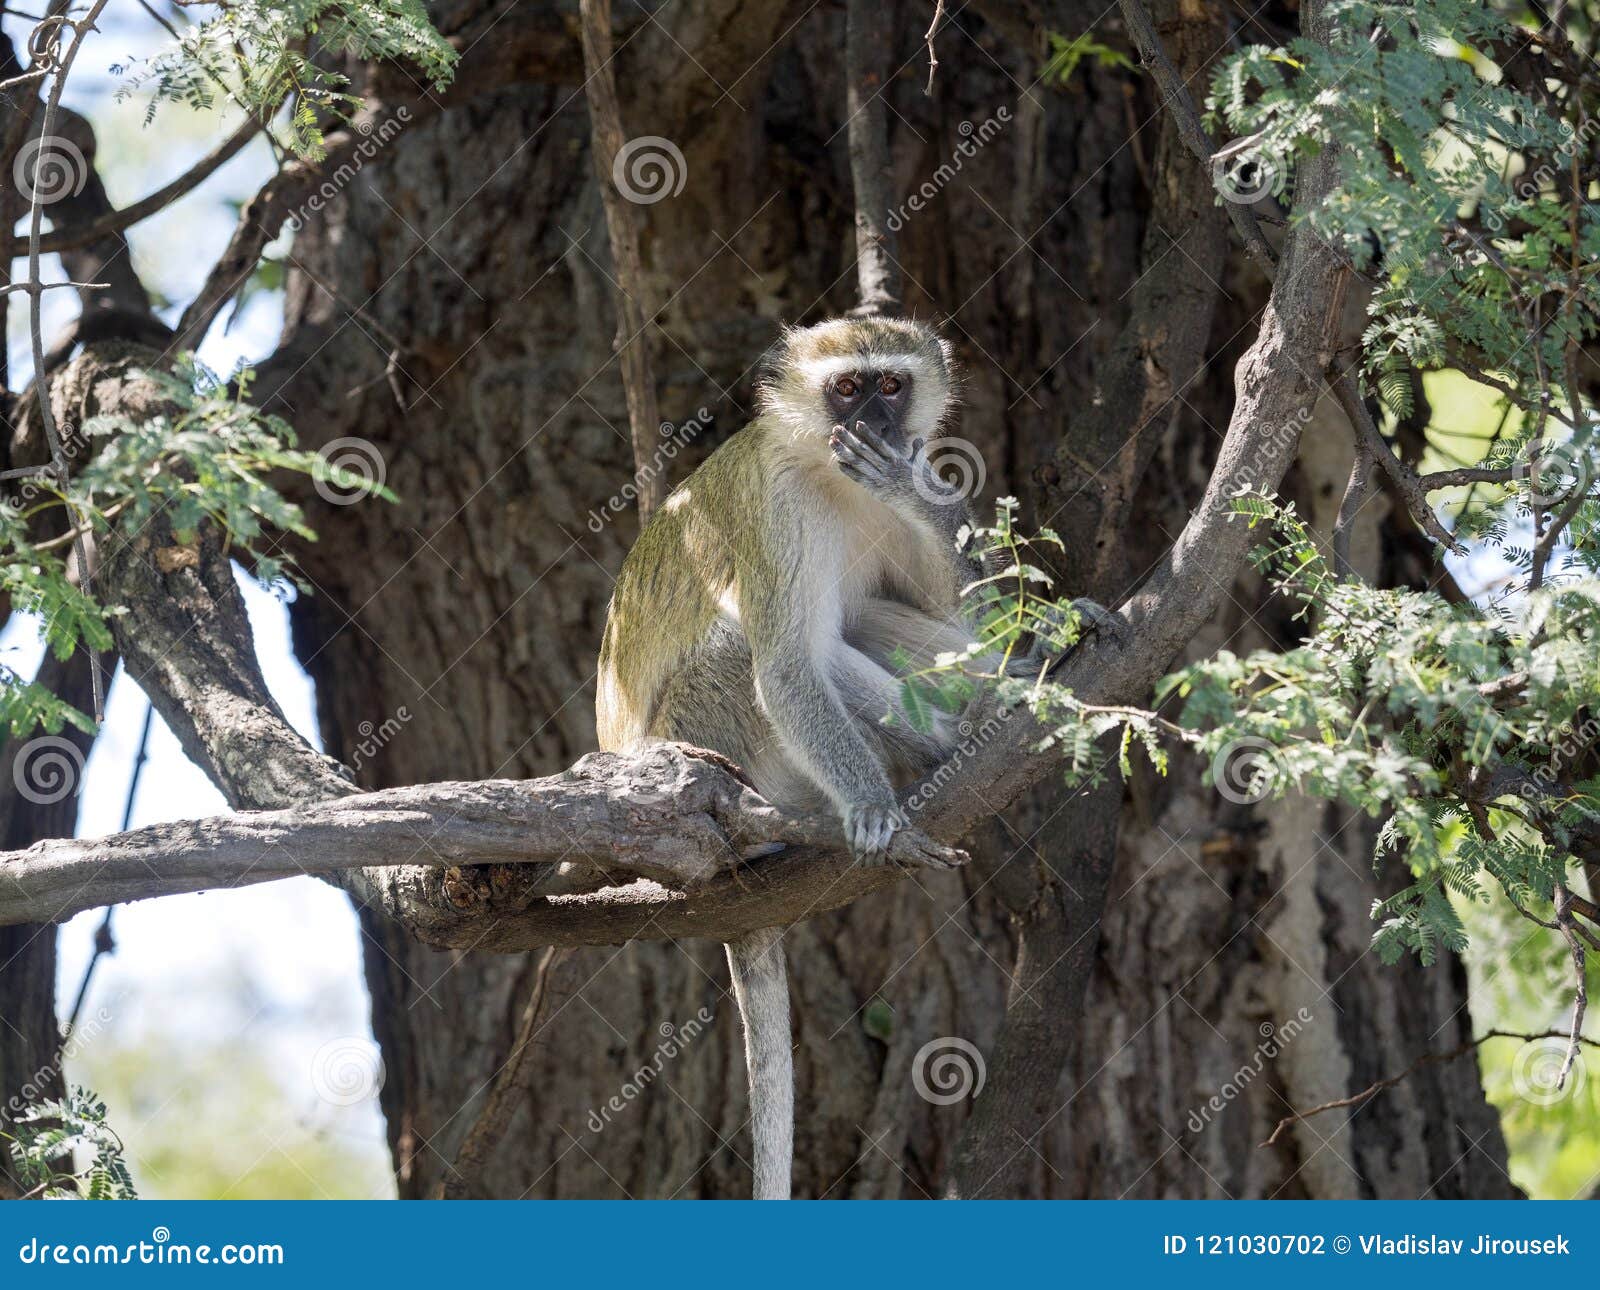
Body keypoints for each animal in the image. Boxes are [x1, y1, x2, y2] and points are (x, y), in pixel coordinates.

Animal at [596, 316, 1062, 1198]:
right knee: (751, 646)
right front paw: (879, 812)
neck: (825, 470)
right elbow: (784, 668)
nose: (875, 423)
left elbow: (951, 611)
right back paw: (955, 740)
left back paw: (1014, 688)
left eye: (891, 386)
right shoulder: (773, 510)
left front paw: (918, 490)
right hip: (725, 750)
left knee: (867, 614)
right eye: (847, 388)